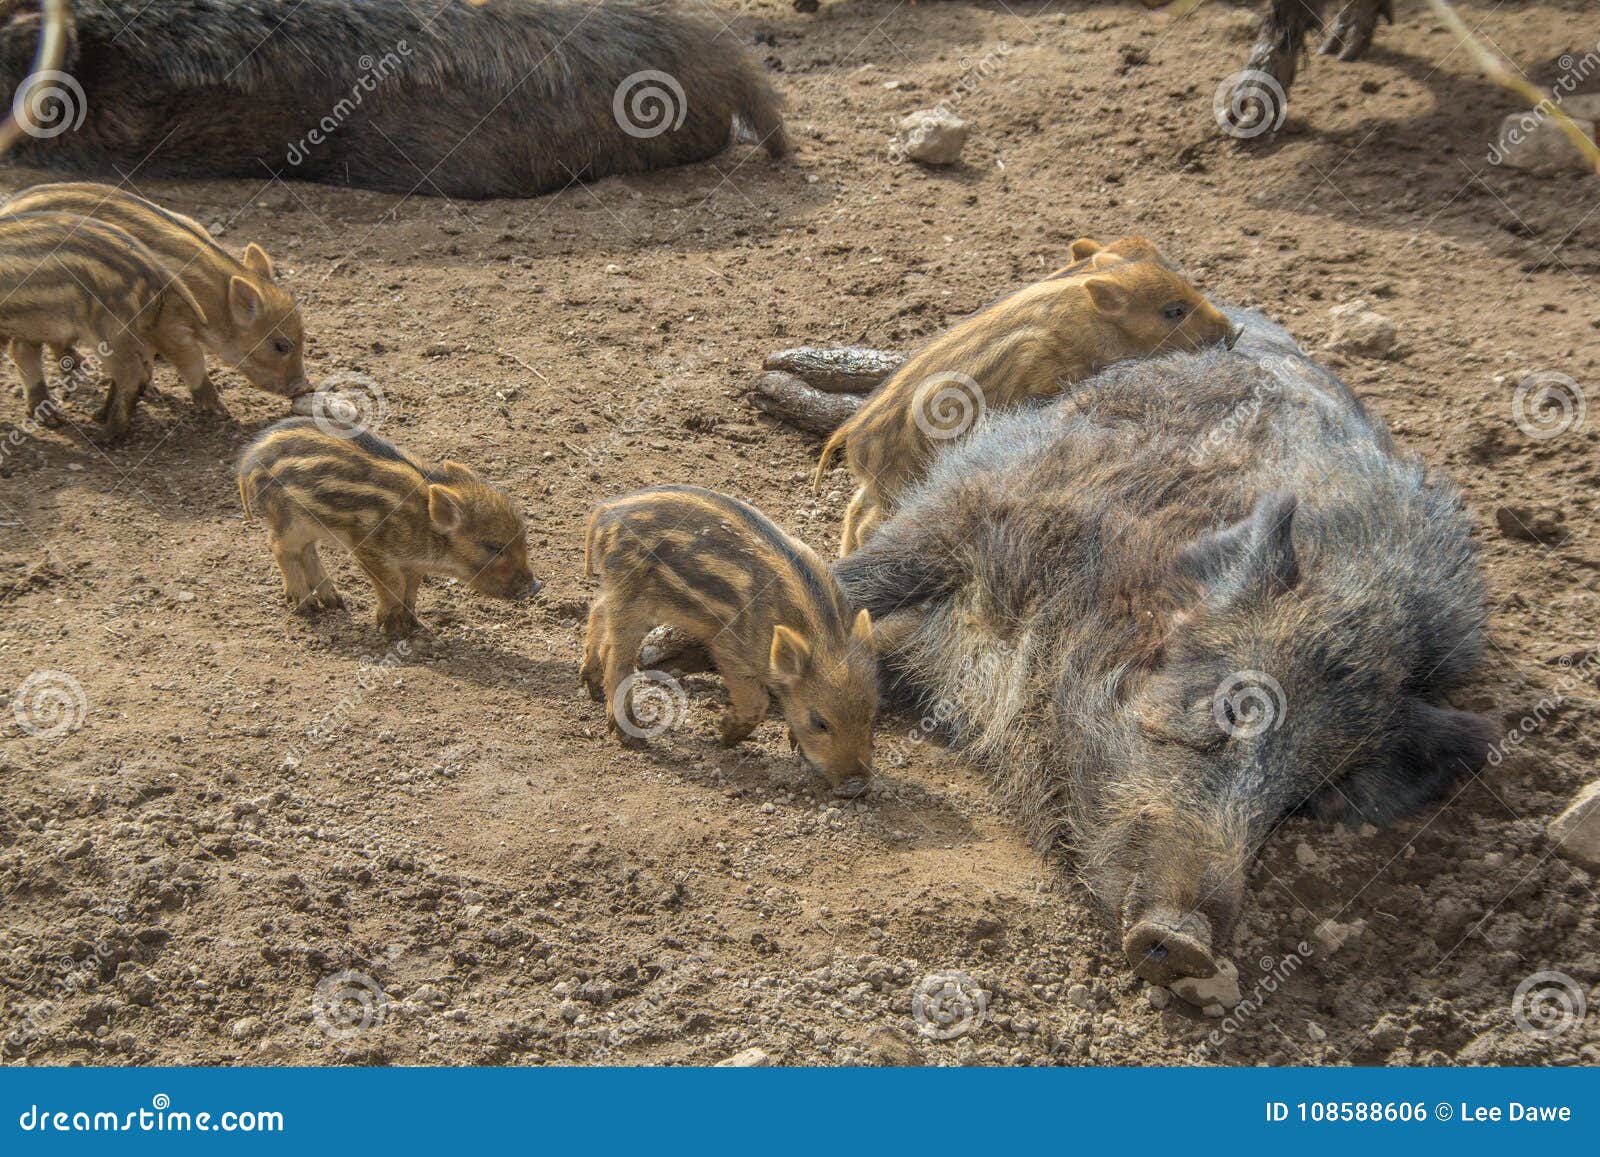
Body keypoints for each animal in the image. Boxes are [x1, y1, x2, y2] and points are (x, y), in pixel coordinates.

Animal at [1, 183, 310, 411]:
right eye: (281, 345)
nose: (305, 387)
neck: (213, 297)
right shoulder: (168, 326)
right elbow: (192, 359)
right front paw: (215, 408)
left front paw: (153, 391)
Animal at [237, 418, 540, 638]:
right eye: (494, 547)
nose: (536, 587)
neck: (424, 527)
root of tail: (250, 458)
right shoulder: (369, 548)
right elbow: (392, 585)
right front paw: (388, 628)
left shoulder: (412, 564)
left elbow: (410, 590)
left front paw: (413, 625)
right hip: (288, 520)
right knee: (278, 546)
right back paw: (306, 605)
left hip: (311, 525)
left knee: (308, 551)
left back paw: (334, 601)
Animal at [582, 485, 877, 796]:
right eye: (819, 722)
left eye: (871, 716)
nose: (856, 786)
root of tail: (605, 512)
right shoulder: (728, 647)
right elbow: (756, 702)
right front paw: (723, 736)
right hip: (630, 595)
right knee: (617, 659)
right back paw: (630, 736)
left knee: (597, 611)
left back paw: (592, 687)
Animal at [814, 259, 1239, 554]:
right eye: (1174, 310)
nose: (1234, 331)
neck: (1092, 322)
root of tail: (851, 435)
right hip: (898, 487)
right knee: (868, 523)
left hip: (879, 487)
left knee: (854, 510)